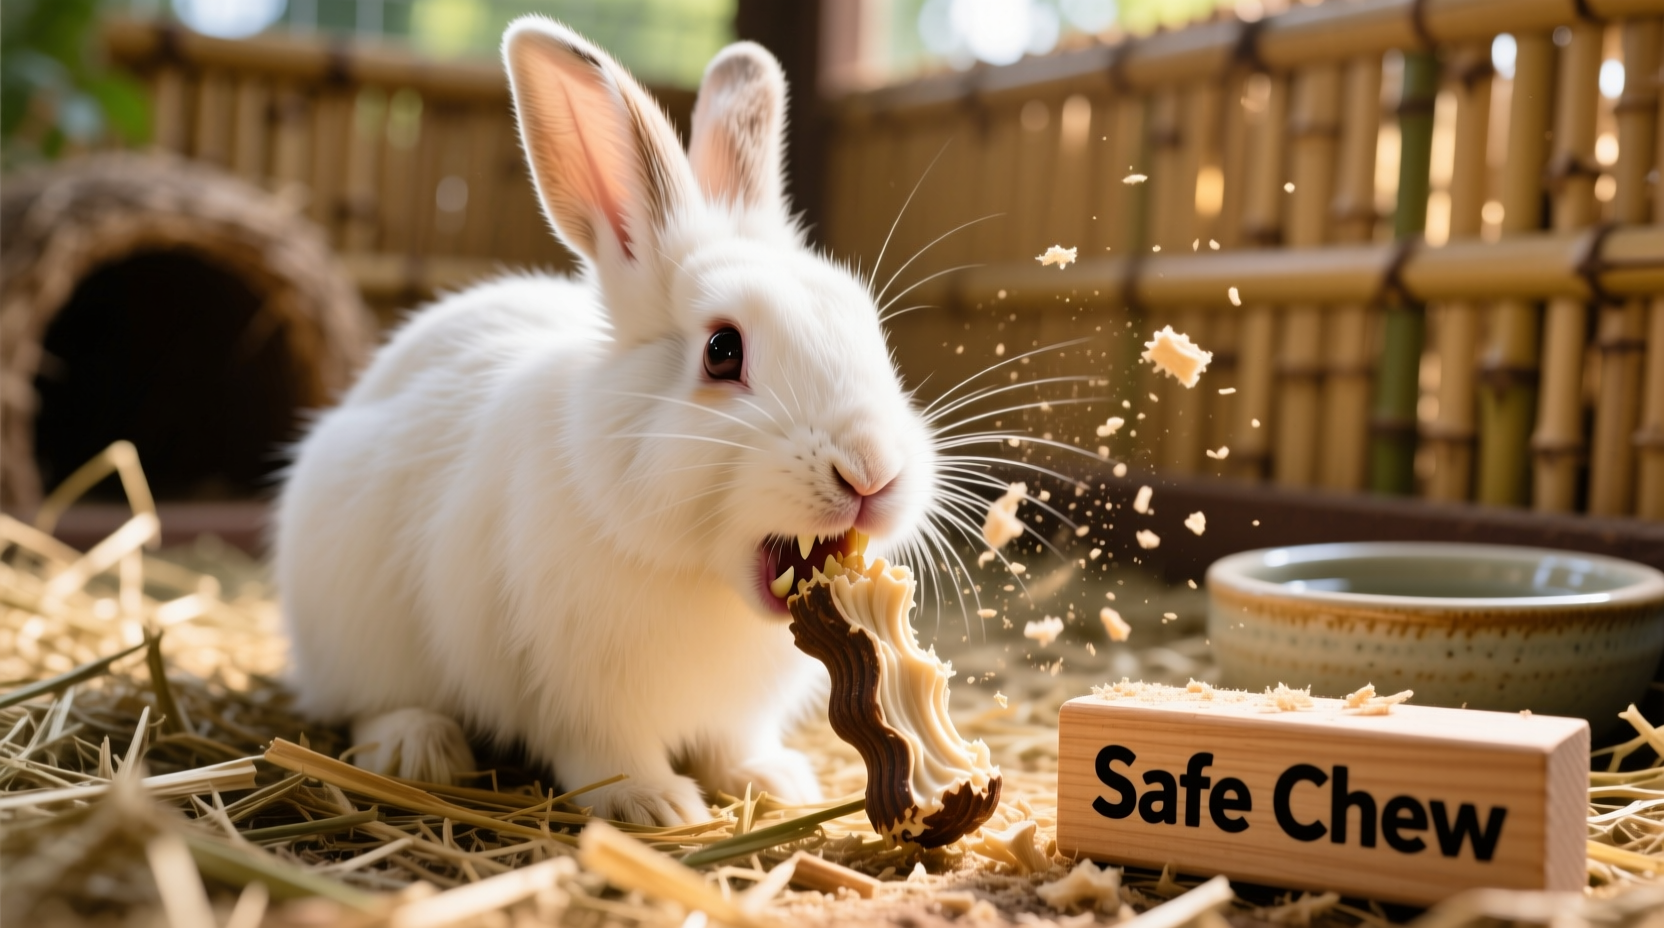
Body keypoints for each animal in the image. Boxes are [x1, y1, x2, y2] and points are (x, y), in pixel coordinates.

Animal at [273, 15, 939, 826]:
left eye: (869, 329)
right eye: (723, 350)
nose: (872, 470)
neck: (699, 575)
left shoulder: (736, 709)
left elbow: (733, 744)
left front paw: (775, 782)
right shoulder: (579, 692)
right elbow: (604, 755)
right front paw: (658, 807)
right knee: (368, 701)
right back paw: (417, 747)